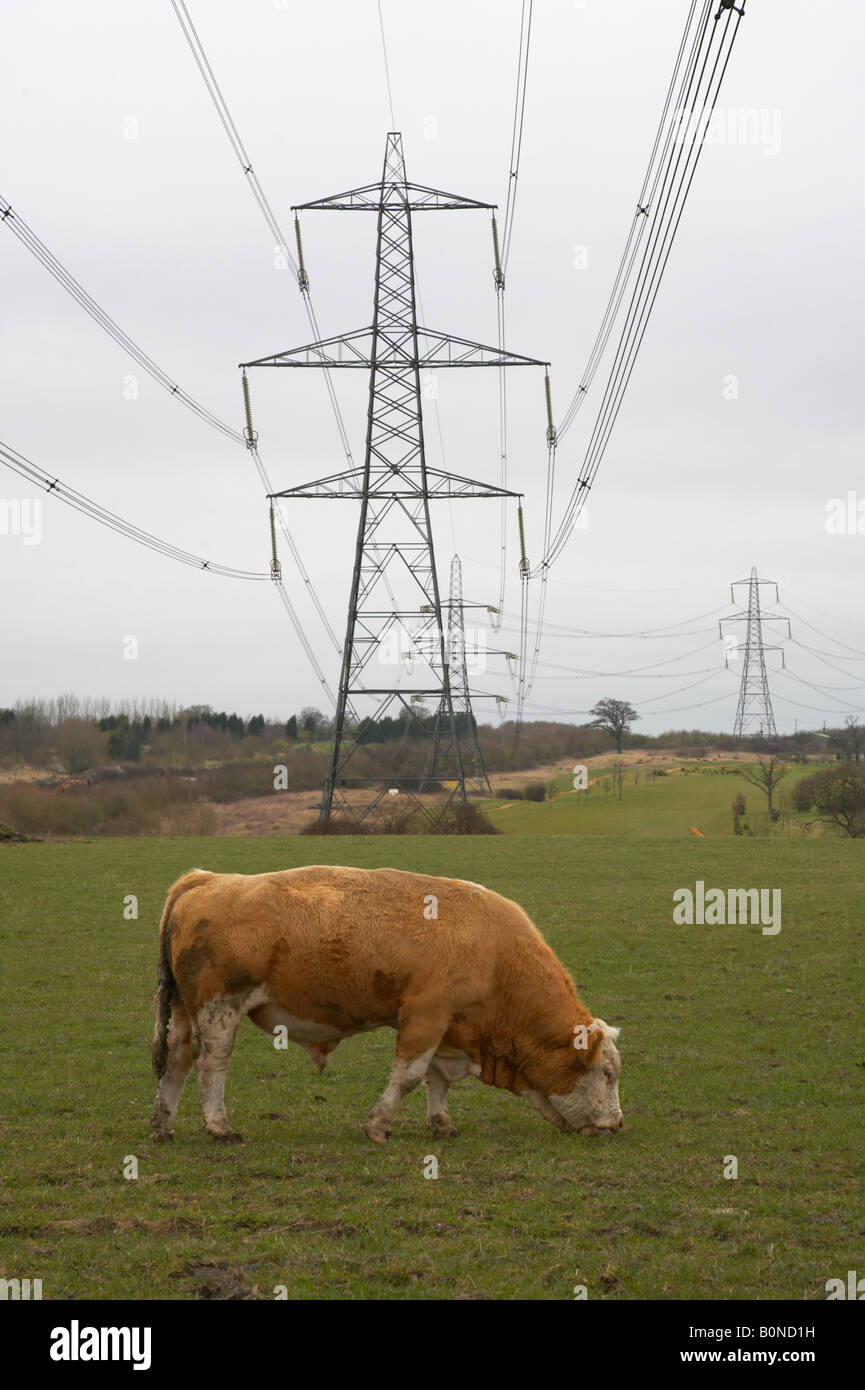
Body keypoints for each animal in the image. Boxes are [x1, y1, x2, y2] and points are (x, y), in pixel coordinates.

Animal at [150, 866, 623, 1145]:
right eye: (608, 1074)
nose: (617, 1124)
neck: (496, 956)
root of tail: (205, 879)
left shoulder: (446, 1027)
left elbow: (437, 1080)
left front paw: (441, 1124)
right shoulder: (425, 1016)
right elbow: (409, 1076)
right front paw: (378, 1125)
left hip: (184, 1011)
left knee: (177, 1060)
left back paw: (163, 1125)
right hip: (219, 1008)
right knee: (211, 1065)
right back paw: (219, 1127)